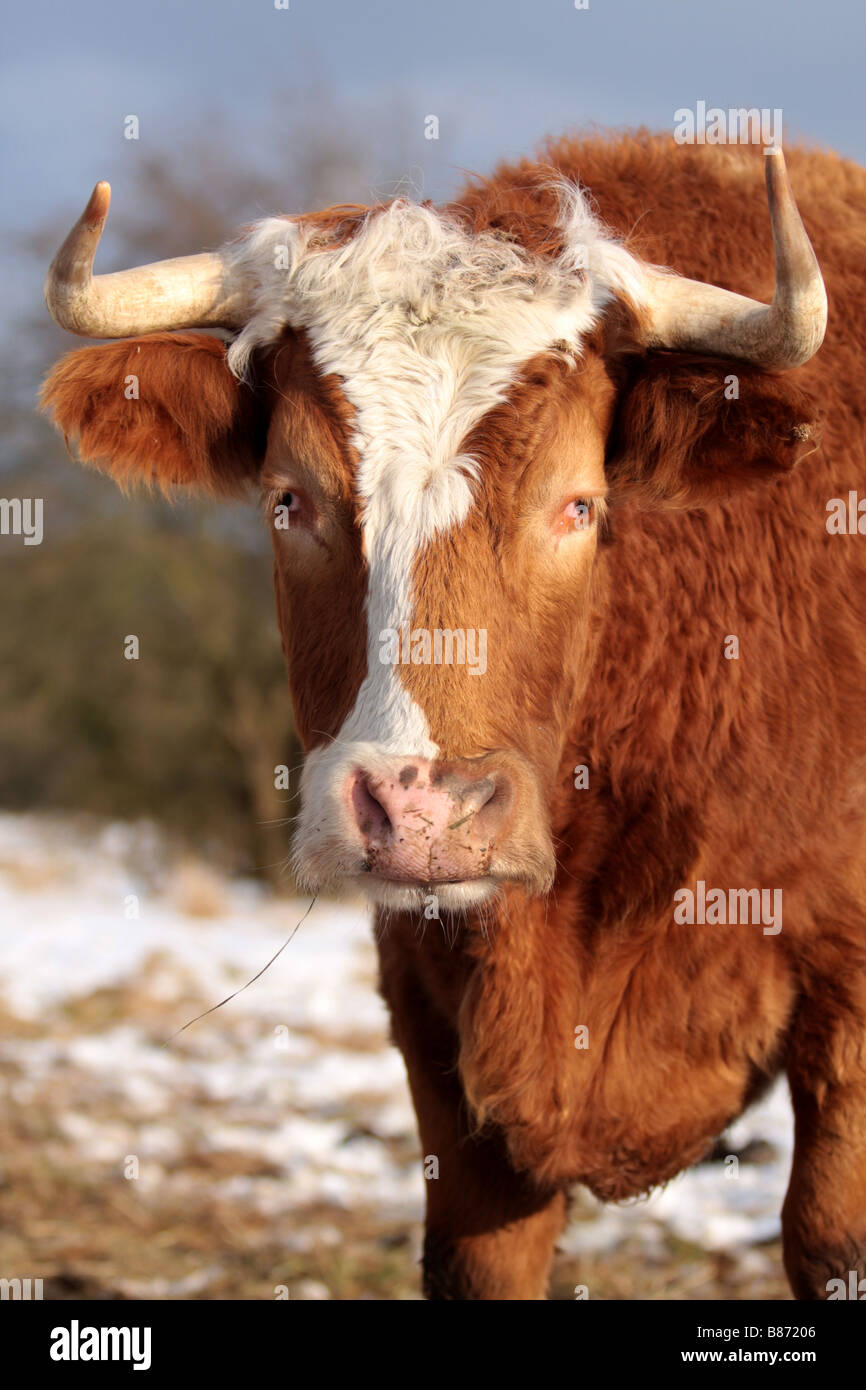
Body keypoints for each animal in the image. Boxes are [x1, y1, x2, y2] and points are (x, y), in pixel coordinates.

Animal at [40, 131, 866, 1301]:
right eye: (289, 499)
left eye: (579, 503)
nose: (423, 813)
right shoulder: (430, 1007)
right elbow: (480, 1257)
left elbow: (829, 1235)